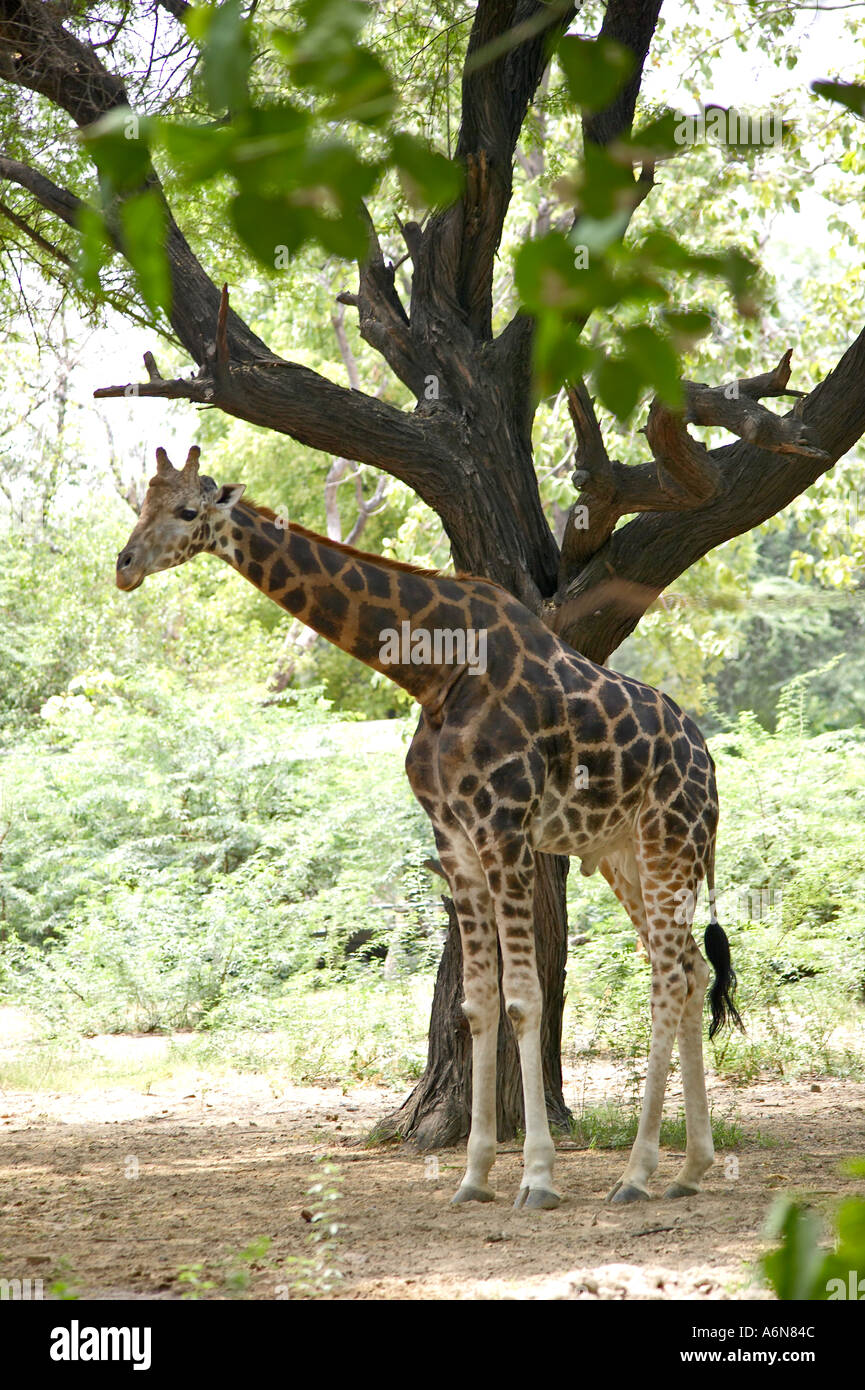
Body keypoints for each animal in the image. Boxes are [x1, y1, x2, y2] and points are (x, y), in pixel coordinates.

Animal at [116, 446, 742, 1208]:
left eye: (186, 511)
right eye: (140, 504)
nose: (123, 566)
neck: (433, 670)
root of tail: (708, 763)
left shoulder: (504, 829)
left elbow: (523, 1001)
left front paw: (536, 1177)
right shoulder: (455, 839)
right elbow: (476, 1007)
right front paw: (473, 1177)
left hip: (668, 844)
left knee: (670, 978)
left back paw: (638, 1173)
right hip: (625, 855)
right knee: (684, 969)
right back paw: (687, 1168)